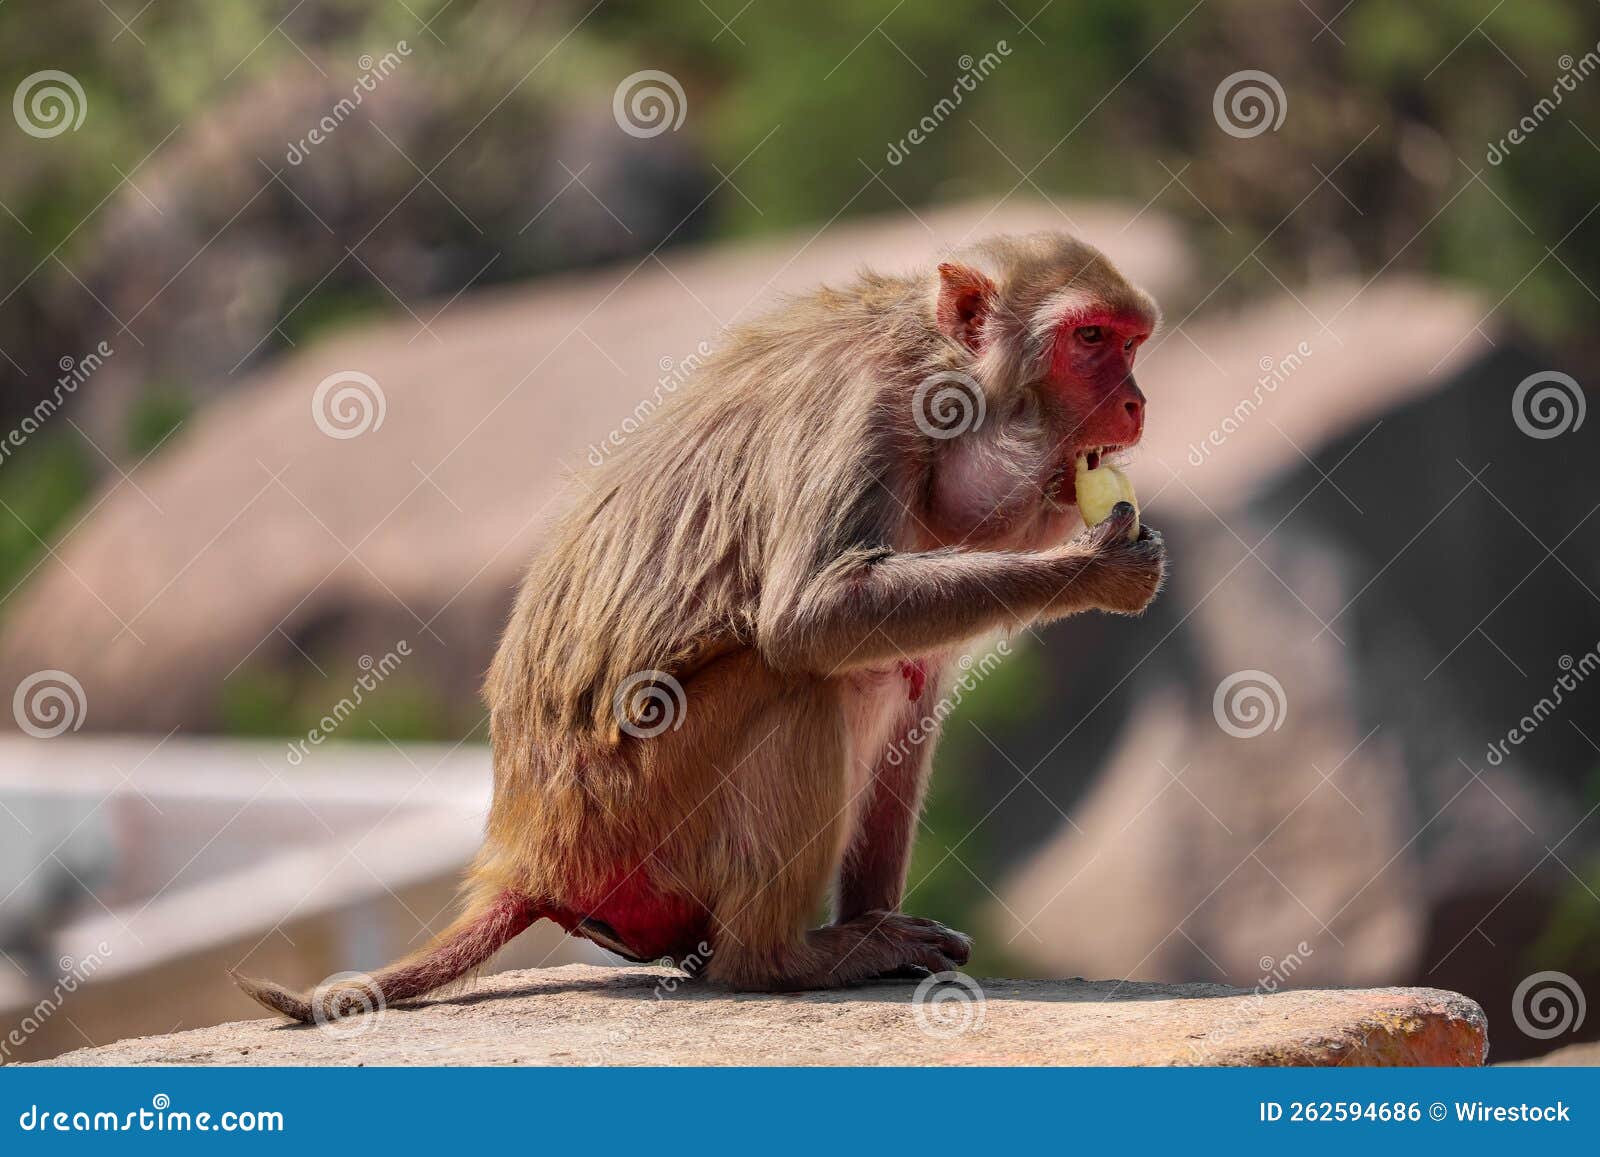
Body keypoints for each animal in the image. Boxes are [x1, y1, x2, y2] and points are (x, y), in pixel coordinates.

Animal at [232, 231, 1165, 1021]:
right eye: (1090, 339)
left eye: (1132, 342)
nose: (1136, 404)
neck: (945, 382)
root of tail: (527, 857)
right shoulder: (866, 410)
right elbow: (812, 617)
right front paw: (1097, 567)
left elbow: (915, 692)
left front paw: (885, 922)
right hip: (634, 808)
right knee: (797, 680)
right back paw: (780, 960)